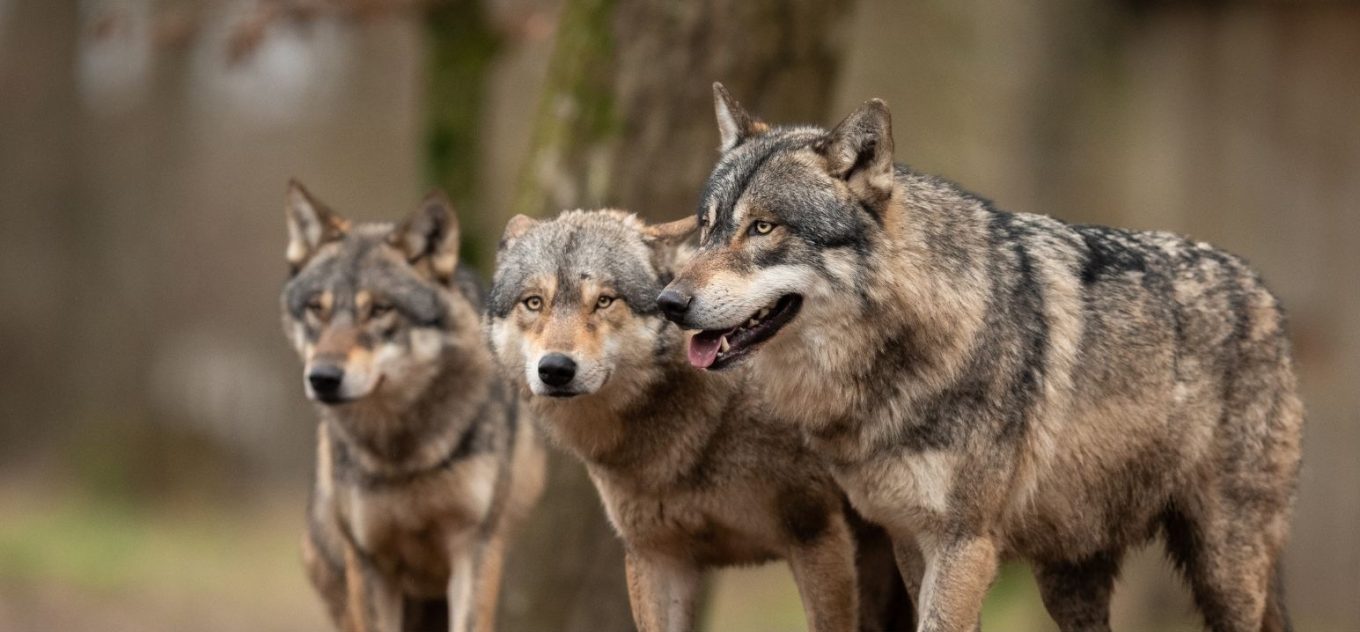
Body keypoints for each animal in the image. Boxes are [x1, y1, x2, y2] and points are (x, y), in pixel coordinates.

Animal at [281, 181, 545, 632]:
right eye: (317, 308)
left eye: (380, 310)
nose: (323, 378)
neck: (402, 448)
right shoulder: (369, 564)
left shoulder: (474, 550)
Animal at [657, 84, 1304, 632]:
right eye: (708, 227)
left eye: (763, 228)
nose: (669, 302)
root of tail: (1264, 291)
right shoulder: (907, 536)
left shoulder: (964, 542)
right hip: (1071, 578)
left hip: (1223, 565)